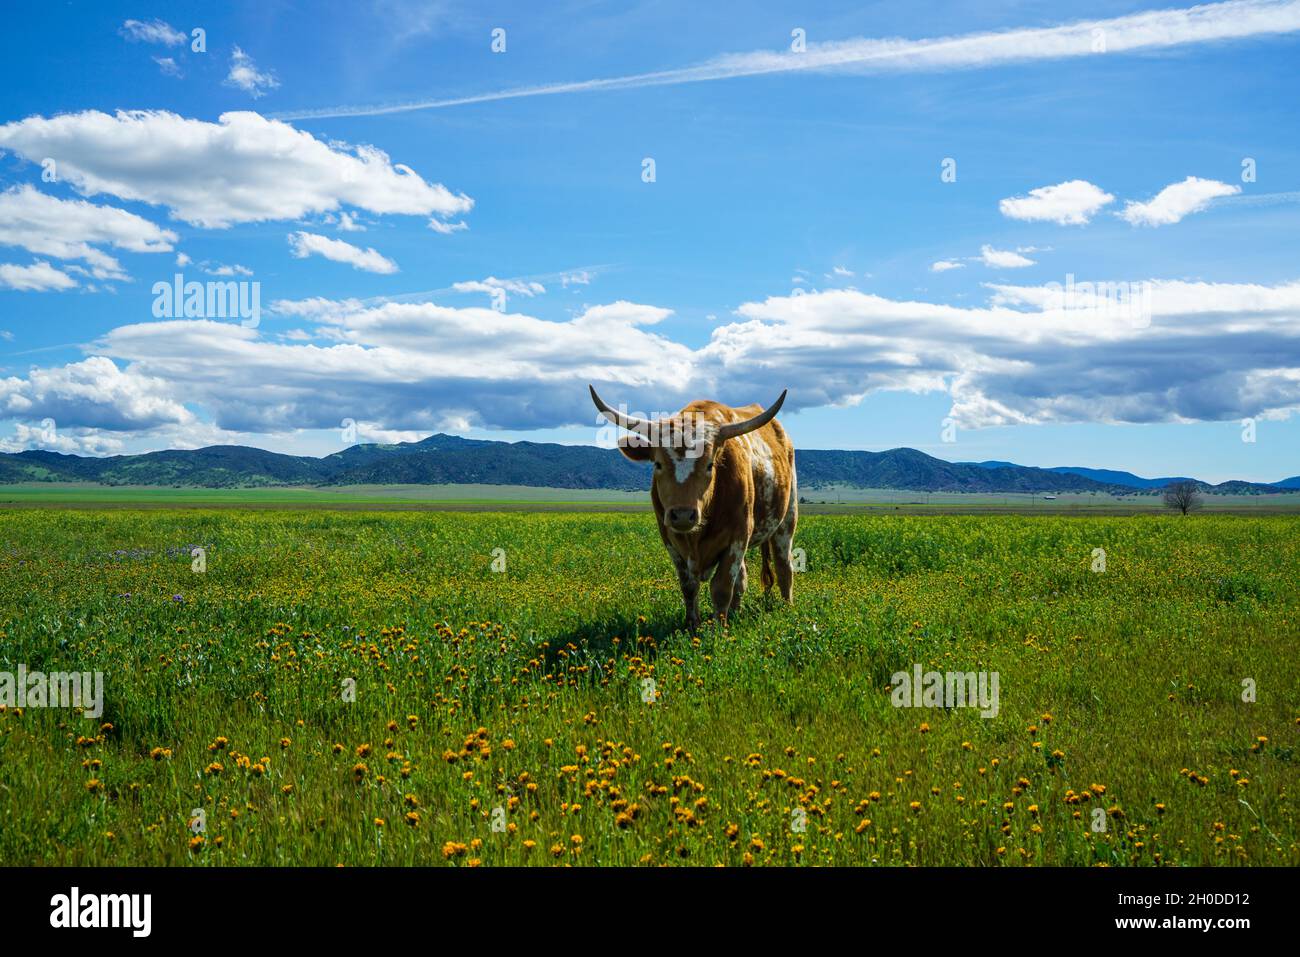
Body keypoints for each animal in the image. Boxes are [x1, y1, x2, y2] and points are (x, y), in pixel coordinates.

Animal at [589, 385, 797, 632]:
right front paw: (692, 625)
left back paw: (786, 608)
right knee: (743, 578)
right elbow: (689, 585)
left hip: (787, 519)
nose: (682, 515)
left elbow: (721, 587)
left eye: (710, 465)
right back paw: (735, 613)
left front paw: (718, 630)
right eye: (658, 464)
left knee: (784, 566)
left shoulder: (738, 535)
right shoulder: (669, 538)